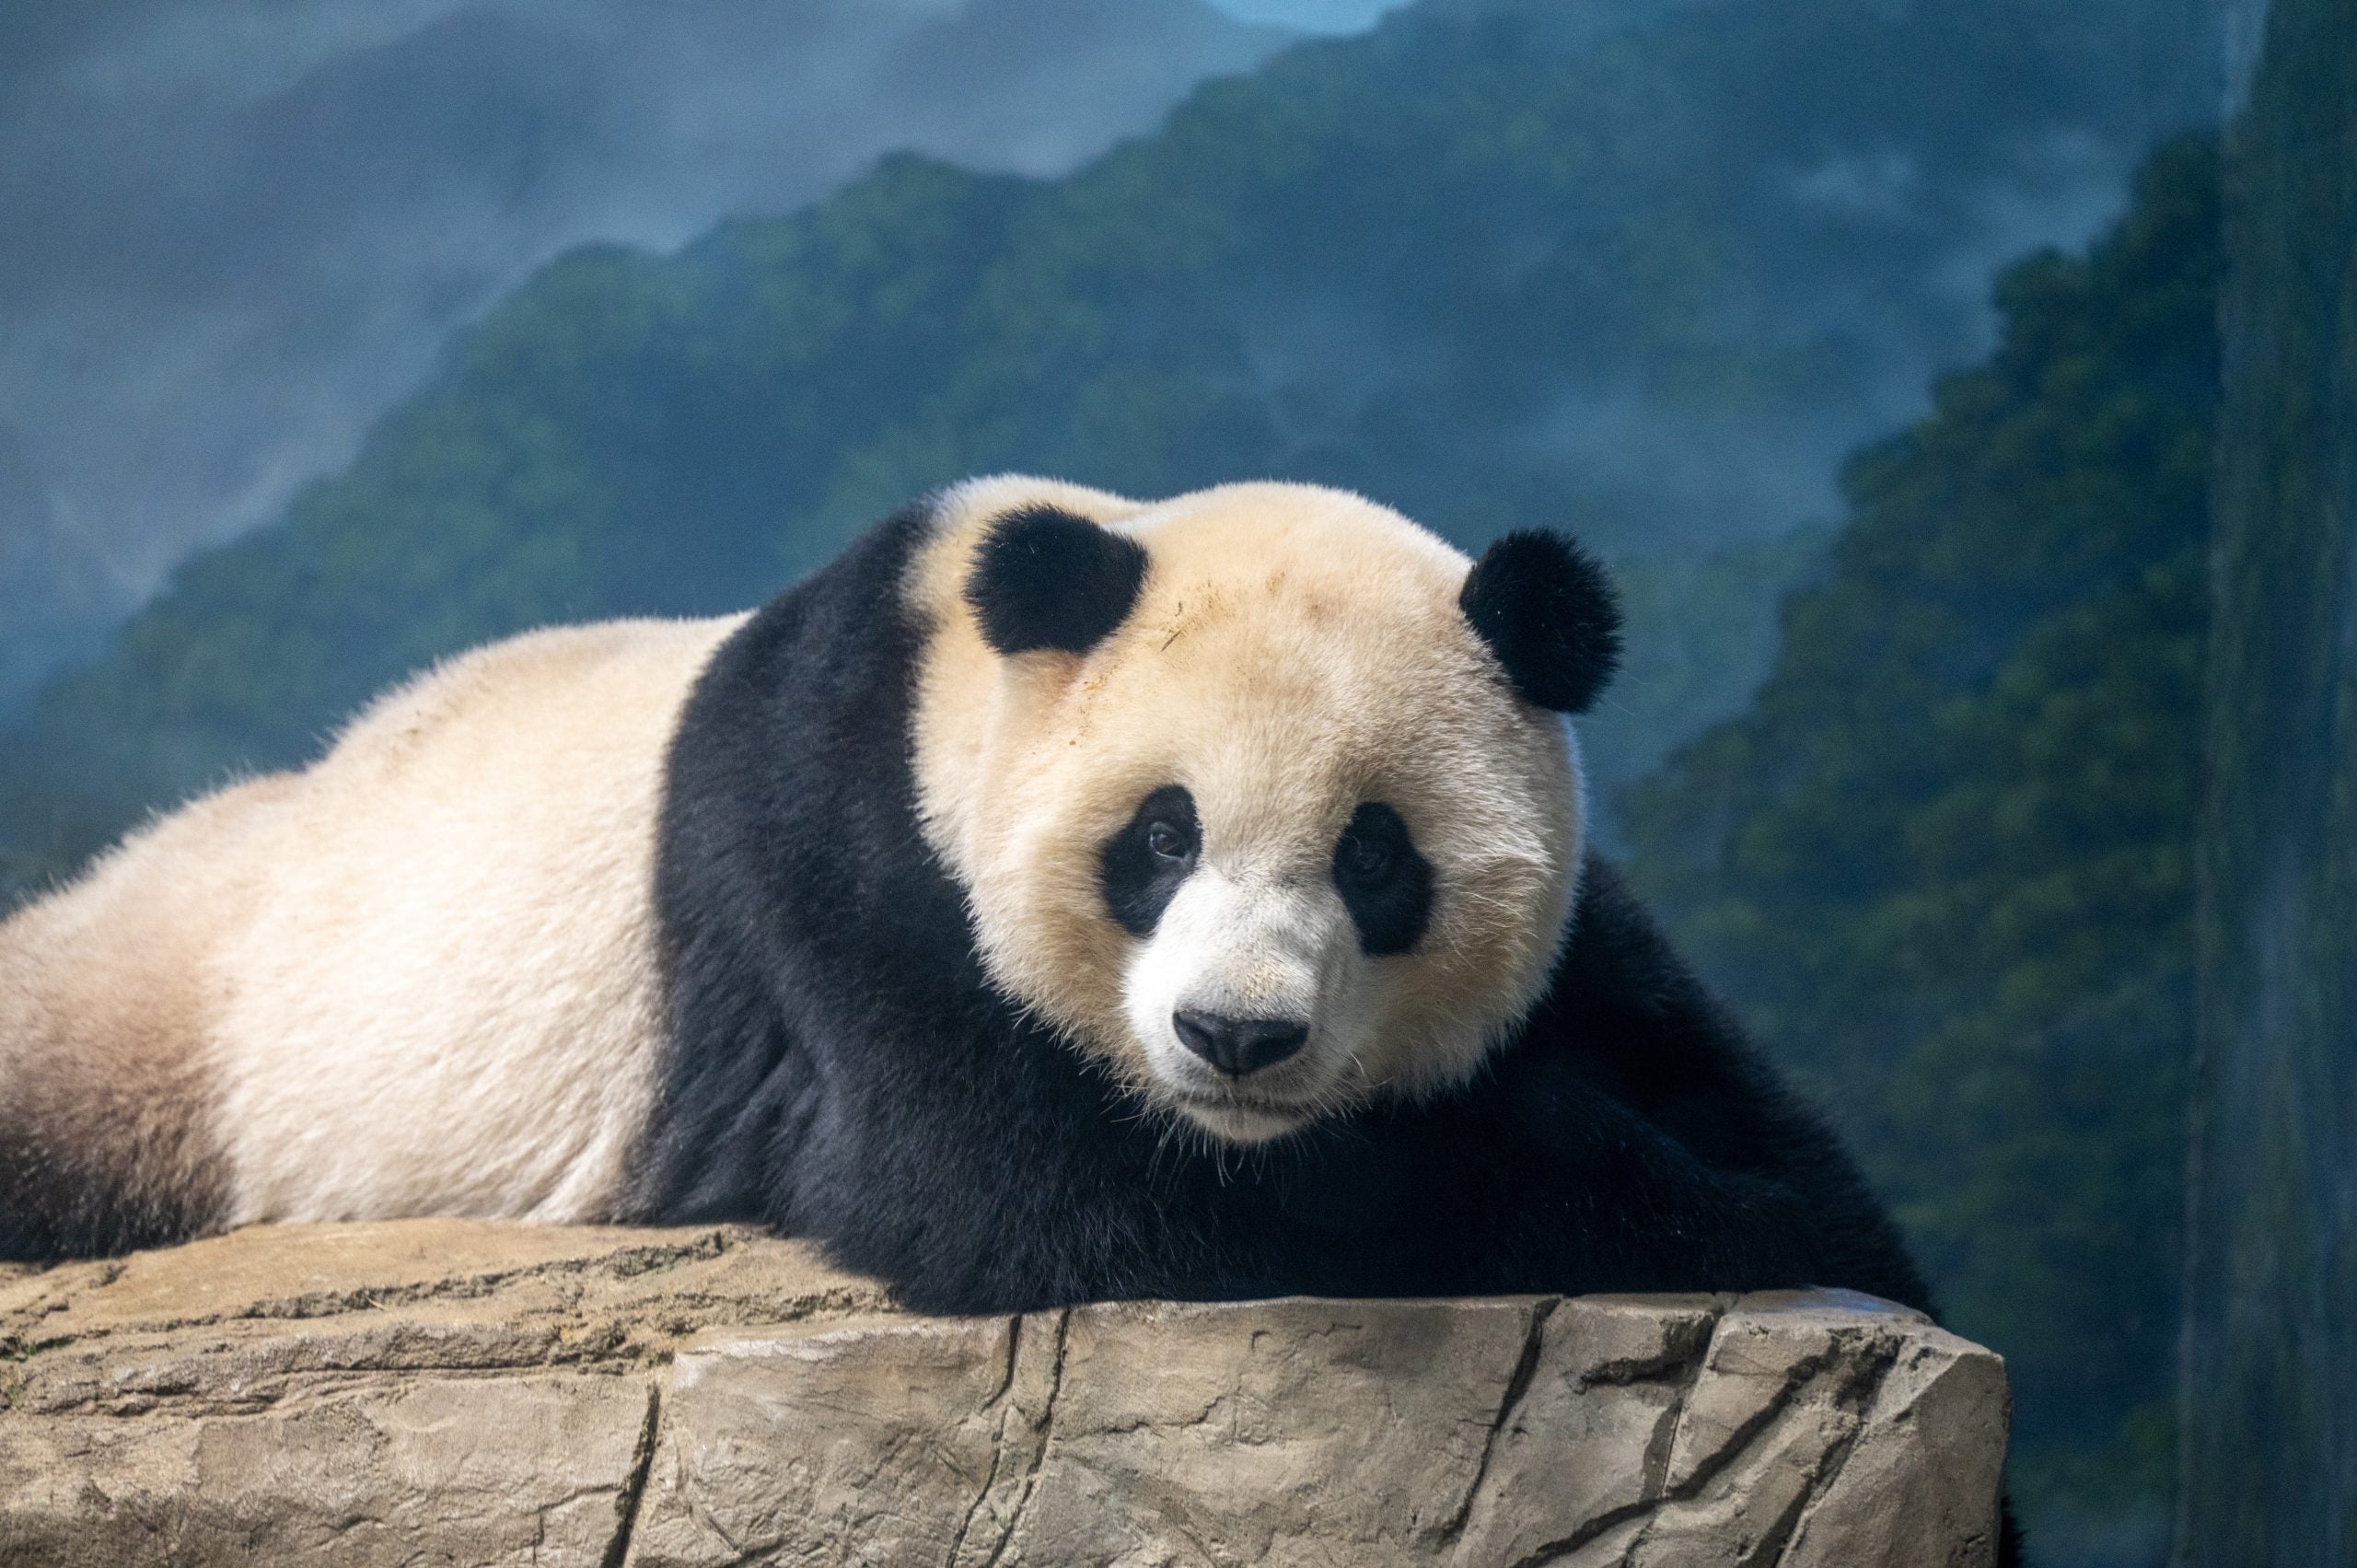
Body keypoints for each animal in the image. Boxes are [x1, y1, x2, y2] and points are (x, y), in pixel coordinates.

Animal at [0, 475, 1930, 1321]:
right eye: (1161, 837)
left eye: (1378, 854)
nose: (1237, 1039)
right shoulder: (840, 872)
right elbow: (1040, 1189)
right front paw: (1635, 1190)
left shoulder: (1595, 938)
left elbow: (1761, 1124)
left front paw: (1793, 1217)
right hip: (192, 1014)